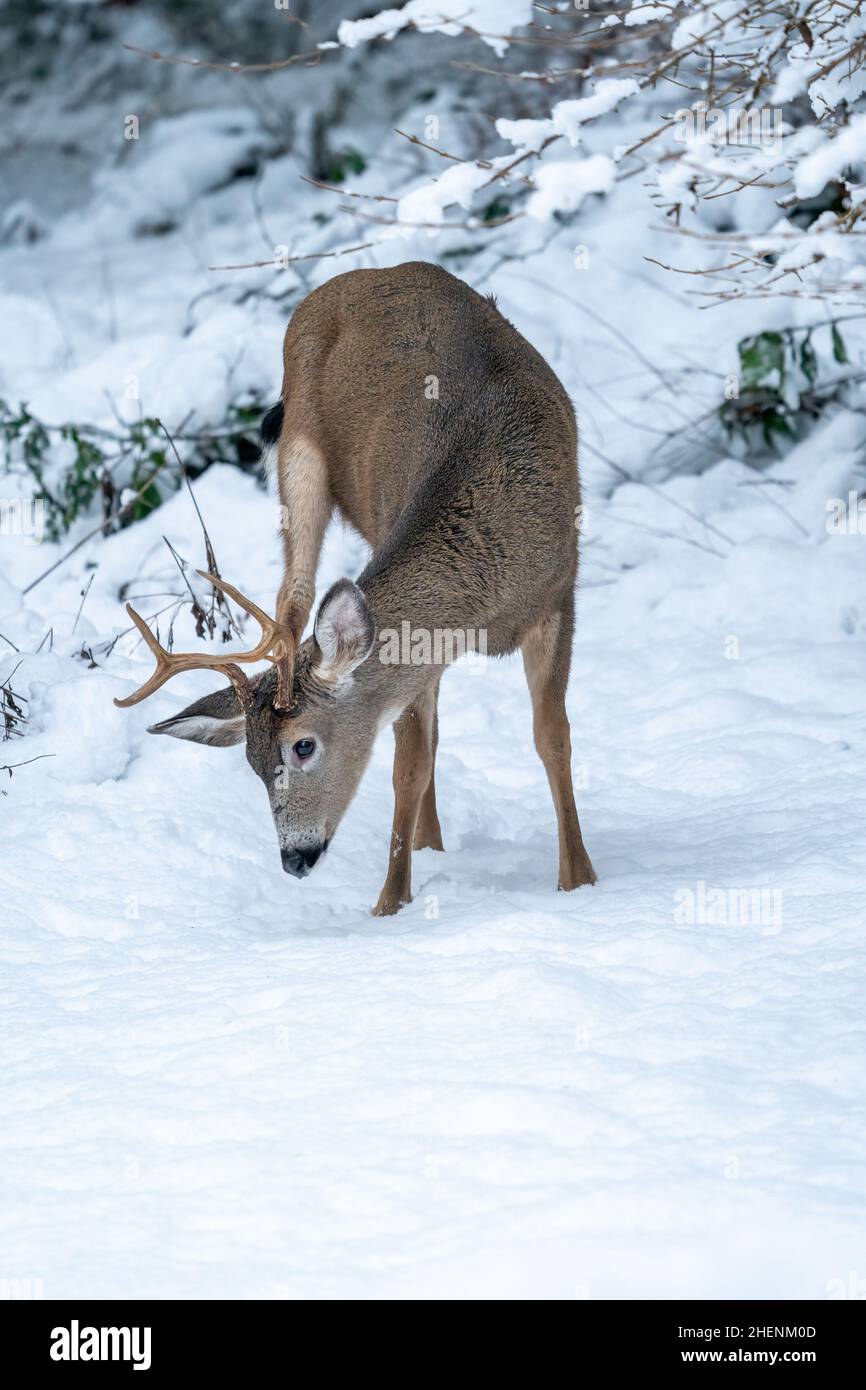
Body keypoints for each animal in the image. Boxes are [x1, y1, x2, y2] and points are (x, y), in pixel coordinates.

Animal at [114, 261, 596, 915]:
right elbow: (409, 765)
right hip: (298, 453)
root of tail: (359, 276)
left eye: (303, 747)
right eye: (251, 764)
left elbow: (553, 738)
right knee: (292, 604)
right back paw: (426, 845)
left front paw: (579, 880)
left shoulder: (558, 592)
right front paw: (391, 904)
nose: (294, 859)